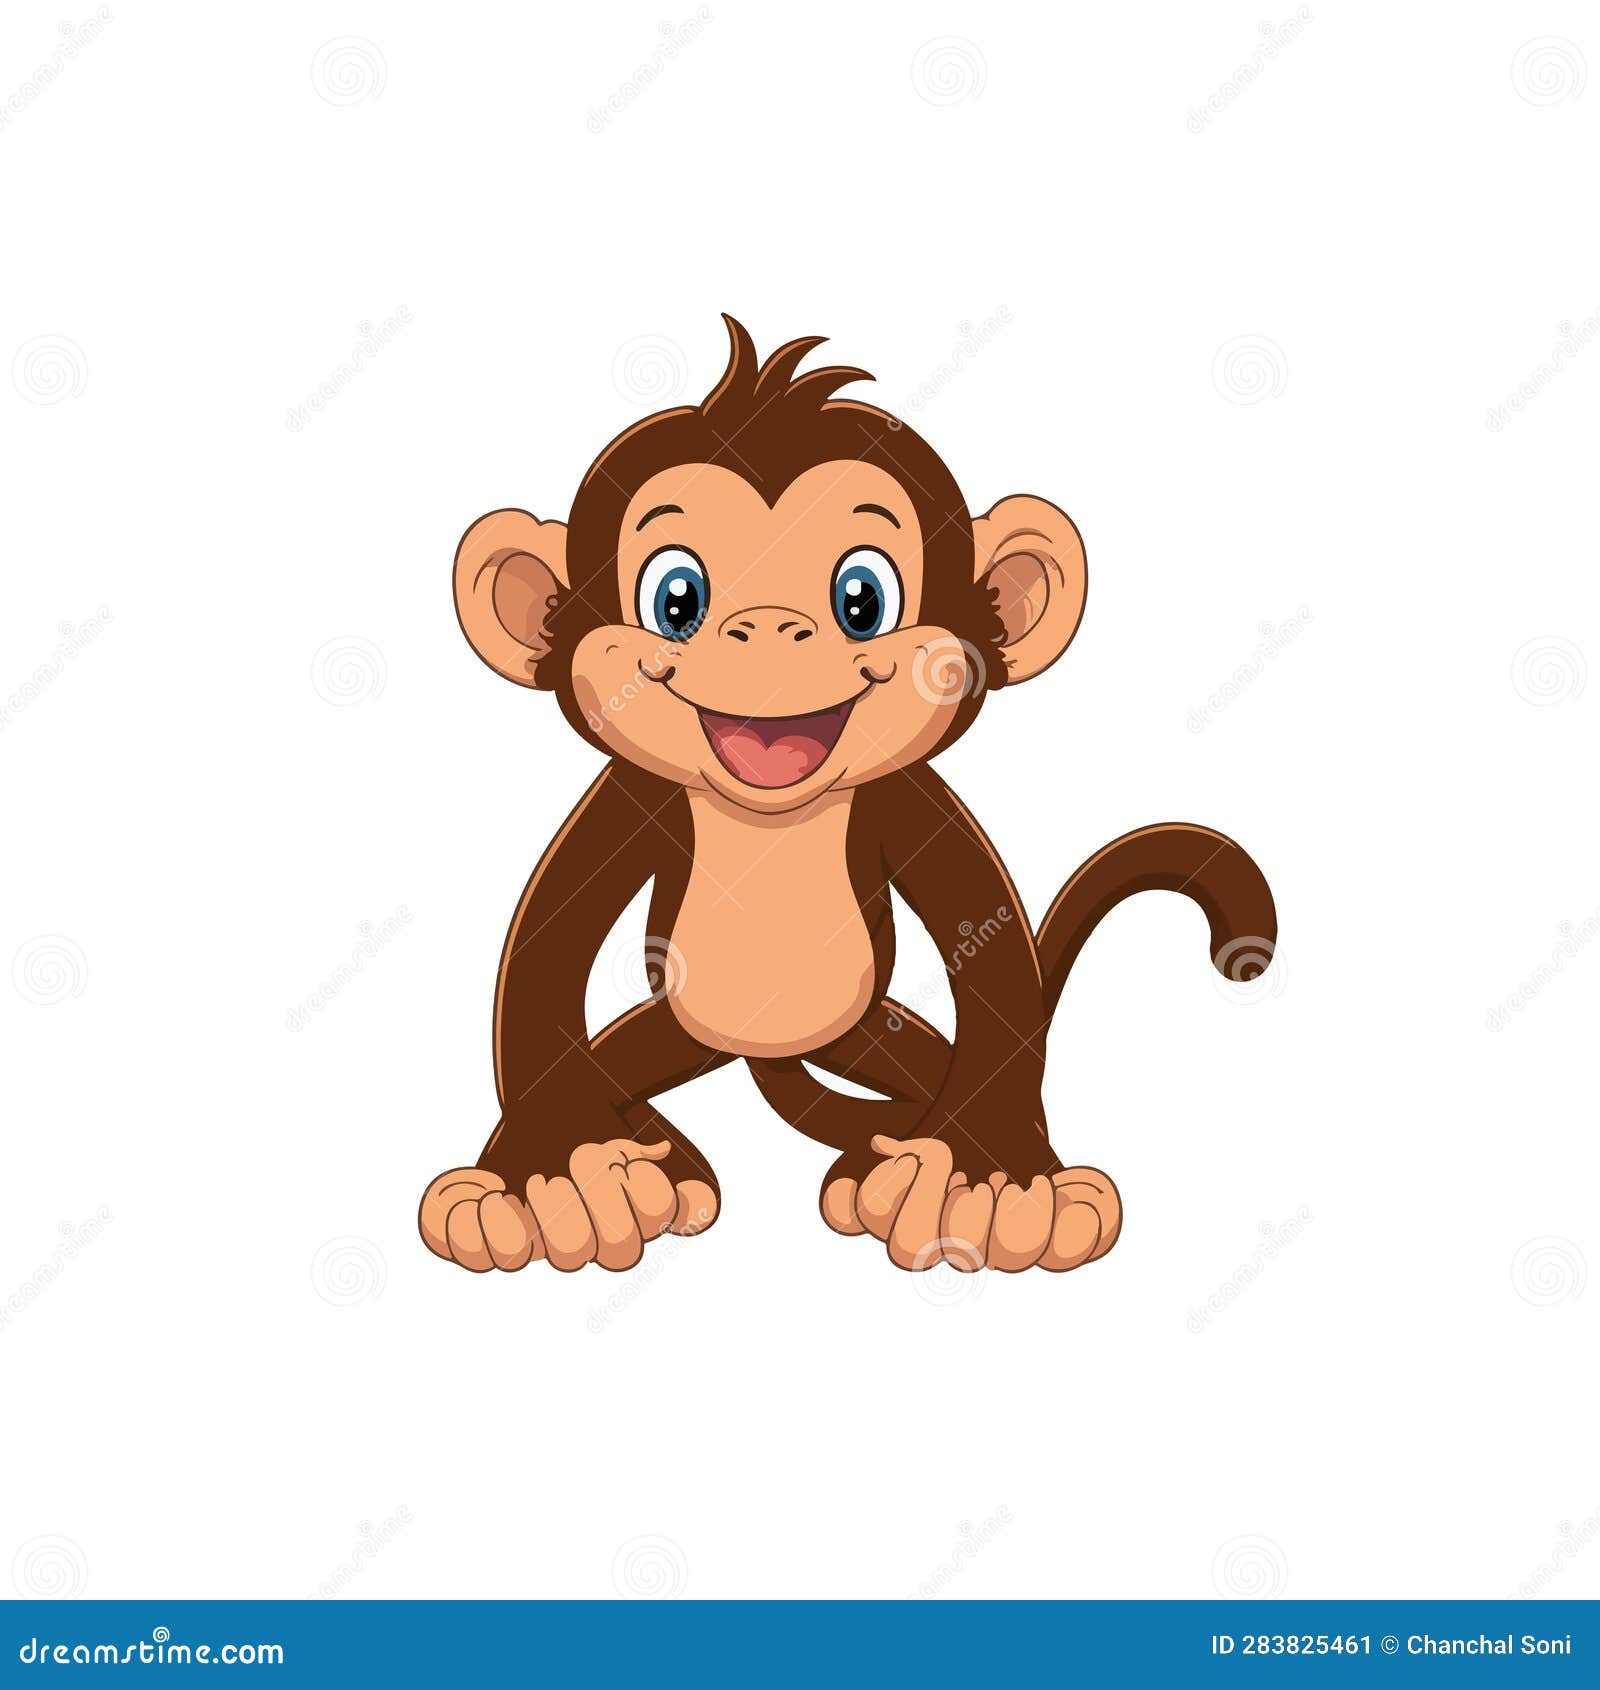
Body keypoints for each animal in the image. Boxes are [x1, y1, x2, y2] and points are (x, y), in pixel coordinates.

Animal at [419, 316, 1275, 1276]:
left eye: (861, 597)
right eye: (677, 597)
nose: (767, 625)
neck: (771, 821)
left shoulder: (907, 804)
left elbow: (992, 961)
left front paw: (986, 1182)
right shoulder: (633, 802)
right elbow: (546, 951)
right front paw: (555, 1177)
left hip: (870, 1031)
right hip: (674, 1026)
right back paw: (655, 1163)